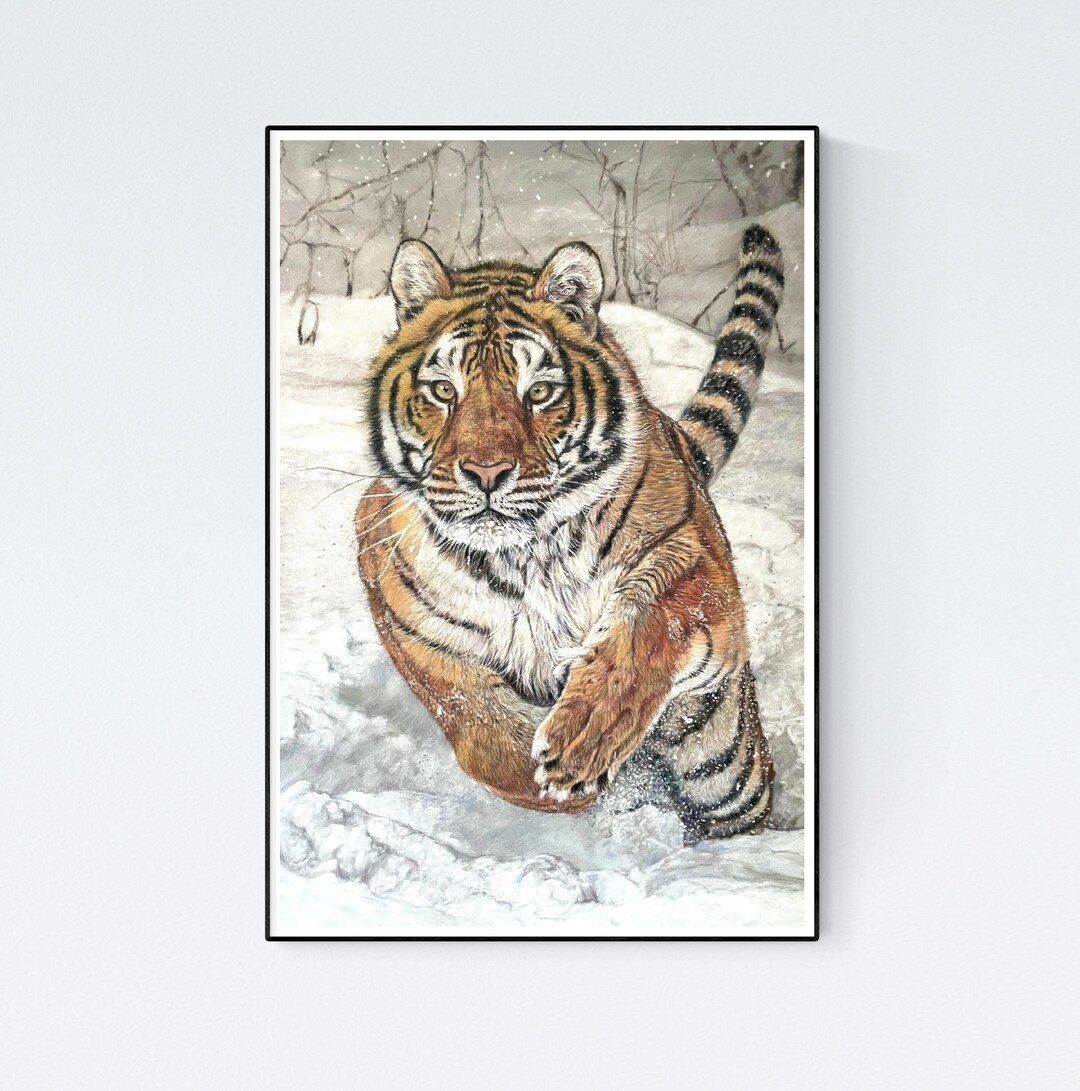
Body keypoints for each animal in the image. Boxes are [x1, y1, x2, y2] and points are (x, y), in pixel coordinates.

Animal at [355, 224, 784, 841]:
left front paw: (582, 743)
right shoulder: (403, 608)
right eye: (443, 390)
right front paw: (563, 791)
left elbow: (647, 628)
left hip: (726, 767)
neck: (523, 554)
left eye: (538, 393)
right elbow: (475, 723)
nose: (486, 472)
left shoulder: (695, 560)